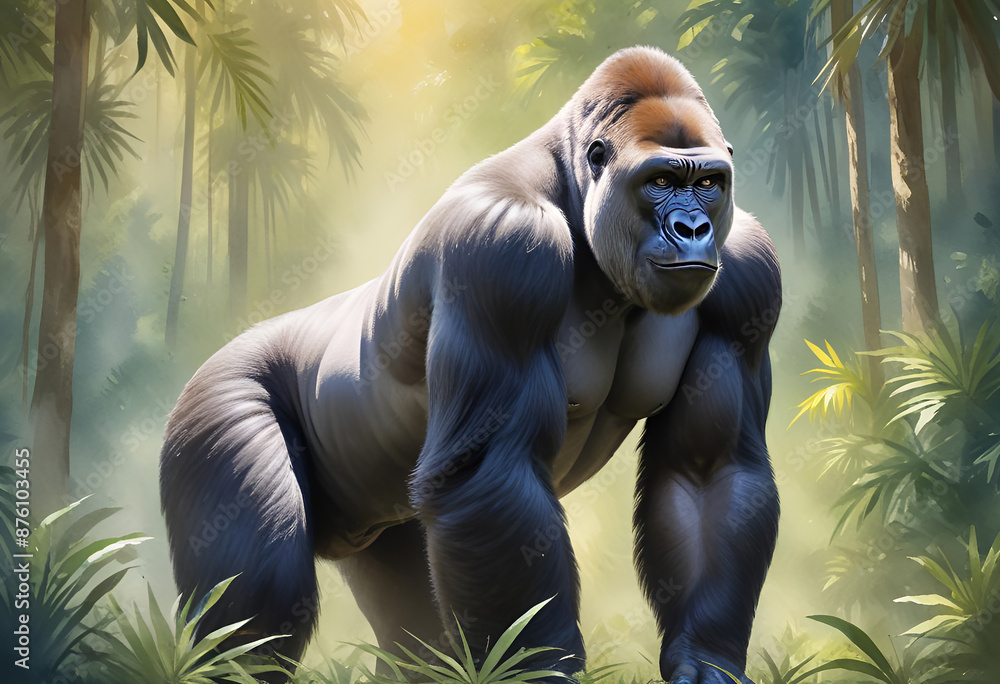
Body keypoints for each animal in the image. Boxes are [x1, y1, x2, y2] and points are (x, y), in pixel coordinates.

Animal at [160, 45, 781, 684]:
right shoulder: (502, 248)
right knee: (262, 603)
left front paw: (705, 658)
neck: (571, 188)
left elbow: (709, 473)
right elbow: (492, 475)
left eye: (707, 183)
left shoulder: (749, 271)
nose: (692, 229)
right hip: (217, 392)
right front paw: (544, 669)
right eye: (659, 181)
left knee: (415, 635)